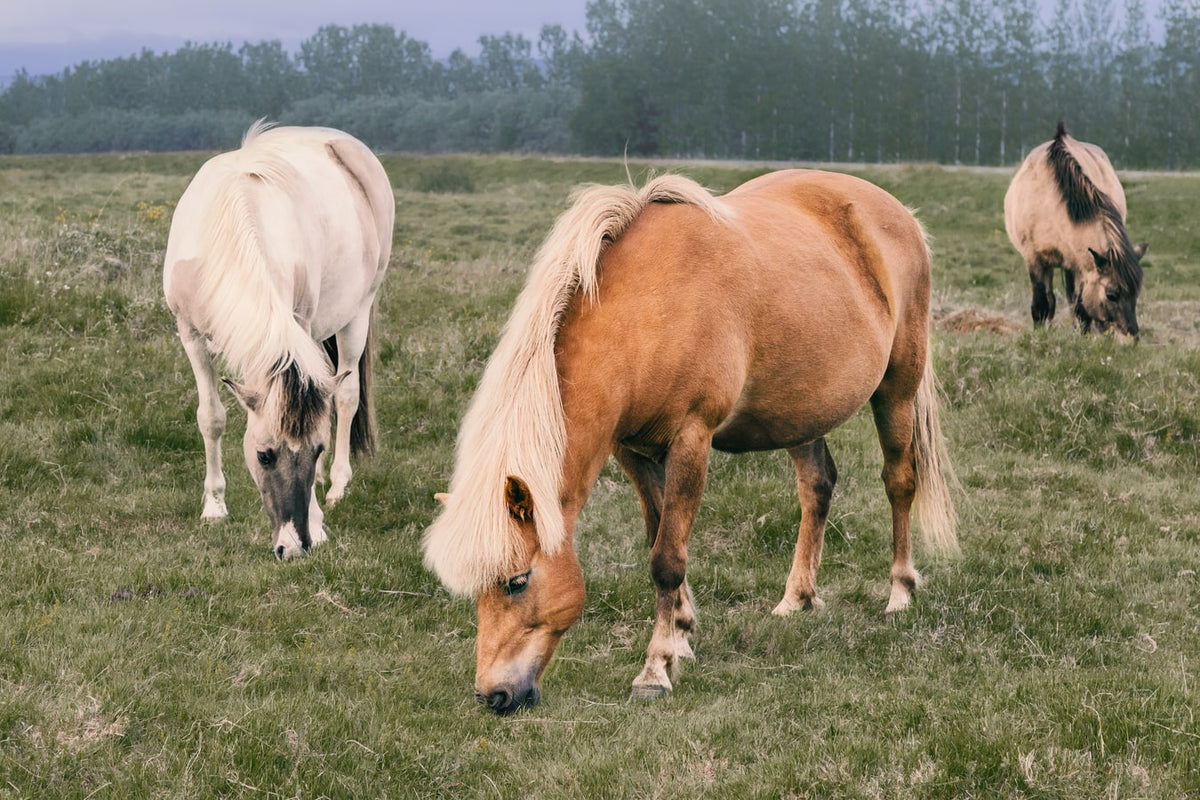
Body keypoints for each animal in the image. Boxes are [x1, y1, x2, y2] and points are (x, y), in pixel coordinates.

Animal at [163, 122, 394, 559]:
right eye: (263, 456)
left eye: (315, 450)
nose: (294, 545)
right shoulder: (190, 335)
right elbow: (211, 418)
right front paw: (214, 506)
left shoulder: (298, 326)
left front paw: (318, 520)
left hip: (358, 311)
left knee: (346, 396)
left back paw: (337, 484)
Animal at [423, 169, 958, 714]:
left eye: (517, 581)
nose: (493, 695)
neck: (645, 310)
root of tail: (896, 212)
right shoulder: (633, 451)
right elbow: (659, 534)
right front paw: (681, 636)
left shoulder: (690, 440)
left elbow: (666, 560)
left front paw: (655, 670)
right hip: (801, 411)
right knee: (817, 486)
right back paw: (797, 598)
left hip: (898, 387)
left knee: (899, 481)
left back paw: (900, 592)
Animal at [1004, 122, 1147, 338]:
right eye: (1111, 295)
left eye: (1136, 294)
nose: (1132, 337)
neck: (1050, 204)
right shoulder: (1034, 259)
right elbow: (1041, 306)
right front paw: (1040, 336)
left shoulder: (1081, 264)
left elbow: (1081, 309)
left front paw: (1082, 338)